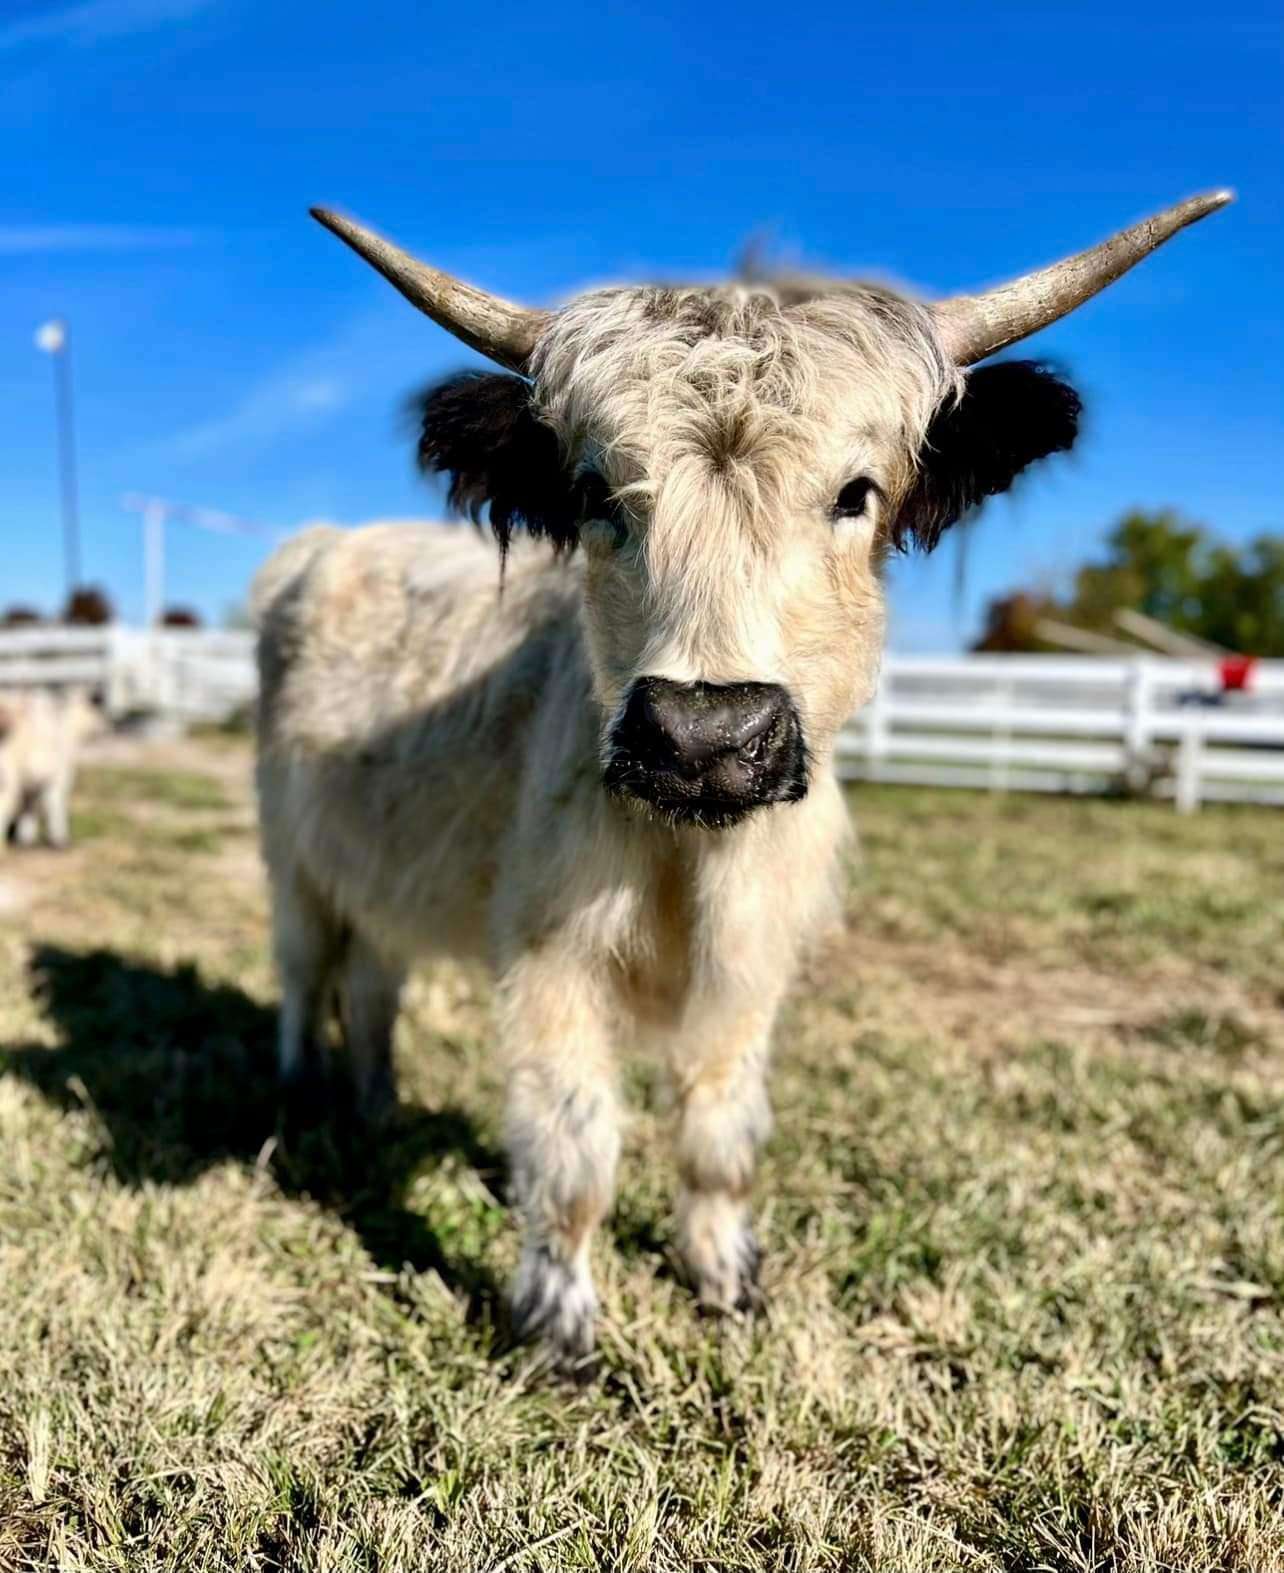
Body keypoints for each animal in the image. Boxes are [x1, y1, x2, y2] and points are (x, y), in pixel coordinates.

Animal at [253, 190, 1231, 1371]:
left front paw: (724, 1278)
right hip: (287, 855)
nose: (704, 733)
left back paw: (376, 1106)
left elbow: (719, 1134)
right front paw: (559, 1329)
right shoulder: (549, 955)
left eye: (854, 493)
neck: (695, 851)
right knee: (305, 970)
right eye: (596, 491)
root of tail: (325, 545)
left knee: (373, 977)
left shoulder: (753, 963)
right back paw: (301, 1101)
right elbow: (573, 1150)